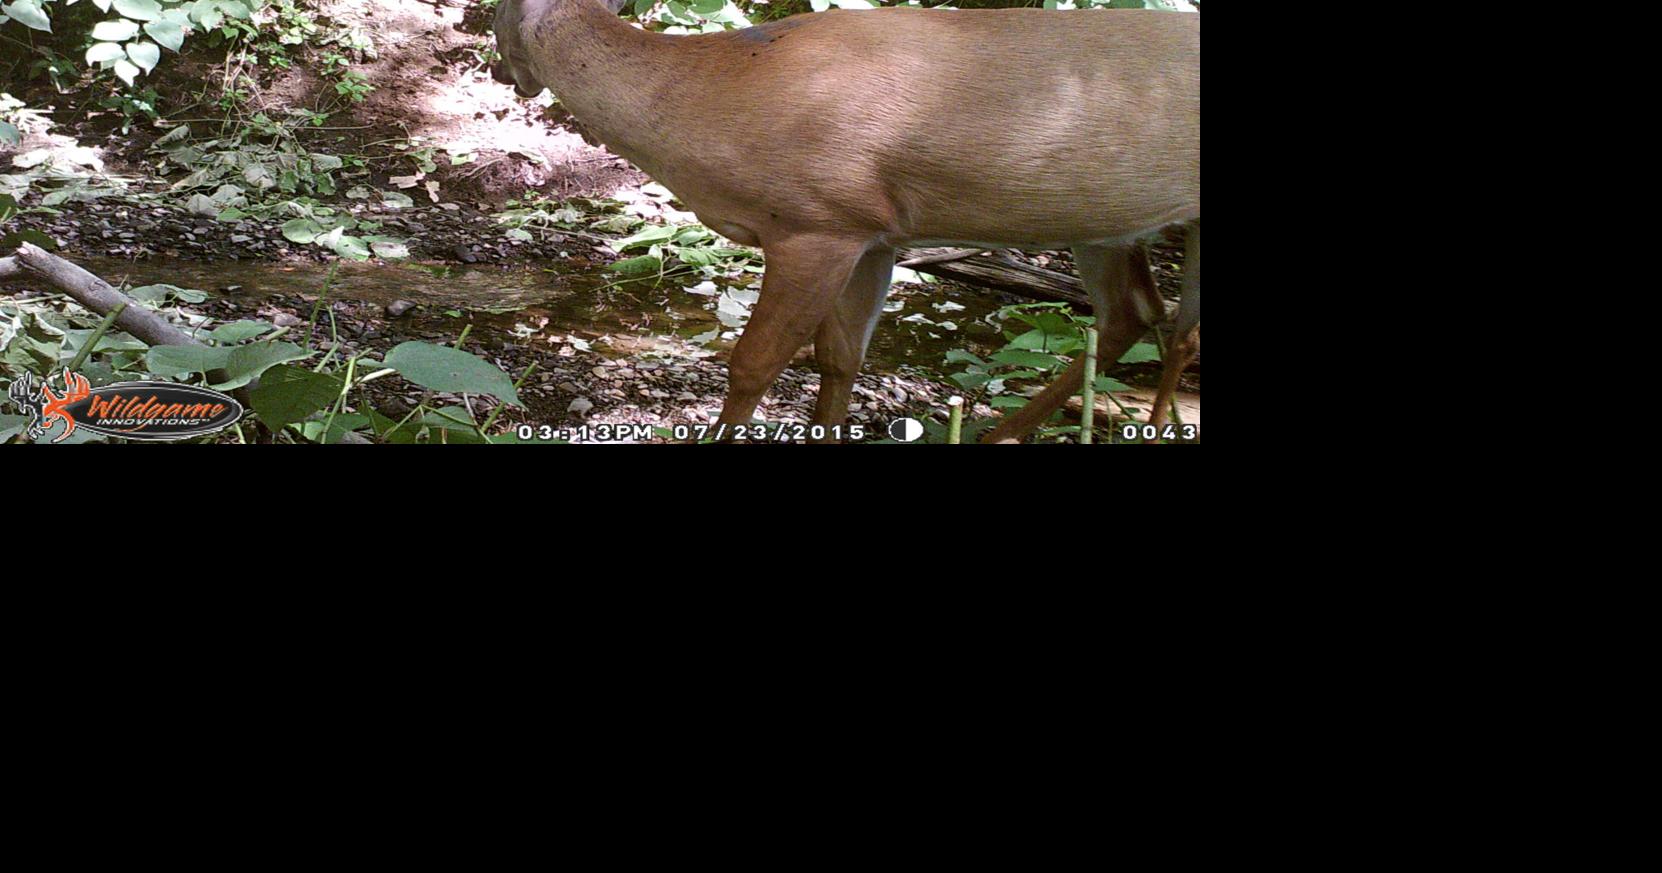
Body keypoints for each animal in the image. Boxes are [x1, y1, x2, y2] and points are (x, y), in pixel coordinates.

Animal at [492, 0, 1199, 443]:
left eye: (498, 12)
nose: (502, 71)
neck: (710, 94)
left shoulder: (817, 220)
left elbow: (753, 364)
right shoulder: (875, 235)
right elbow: (840, 359)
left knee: (1174, 330)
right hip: (1098, 218)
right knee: (1137, 312)